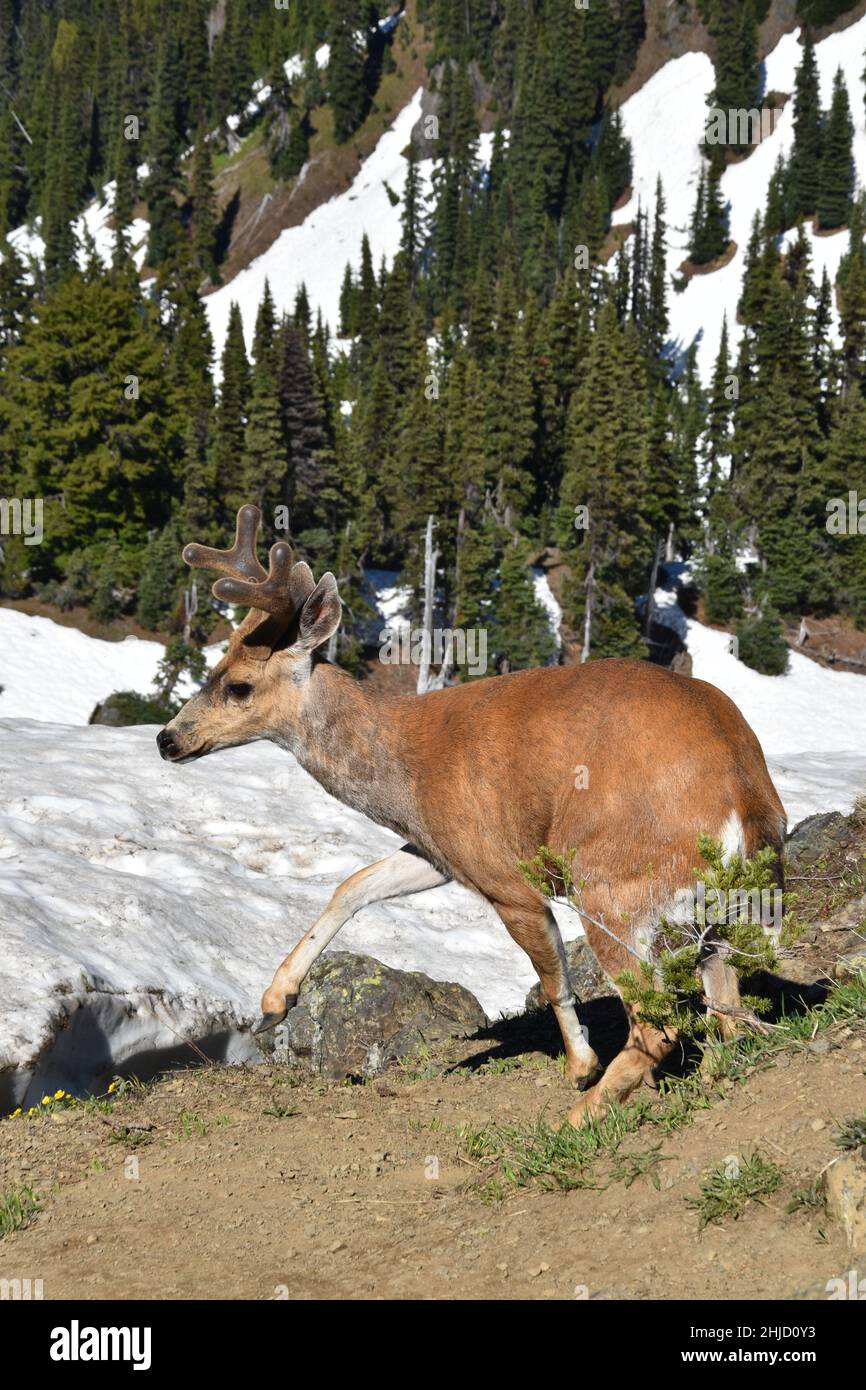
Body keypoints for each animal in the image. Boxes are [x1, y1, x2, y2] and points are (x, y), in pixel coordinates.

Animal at [156, 505, 787, 1126]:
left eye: (239, 686)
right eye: (214, 668)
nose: (166, 739)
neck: (405, 765)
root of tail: (746, 792)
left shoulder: (502, 870)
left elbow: (552, 974)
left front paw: (580, 1064)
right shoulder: (441, 850)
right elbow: (353, 885)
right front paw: (274, 1003)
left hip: (613, 878)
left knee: (660, 1024)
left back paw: (577, 1116)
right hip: (713, 904)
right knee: (730, 1011)